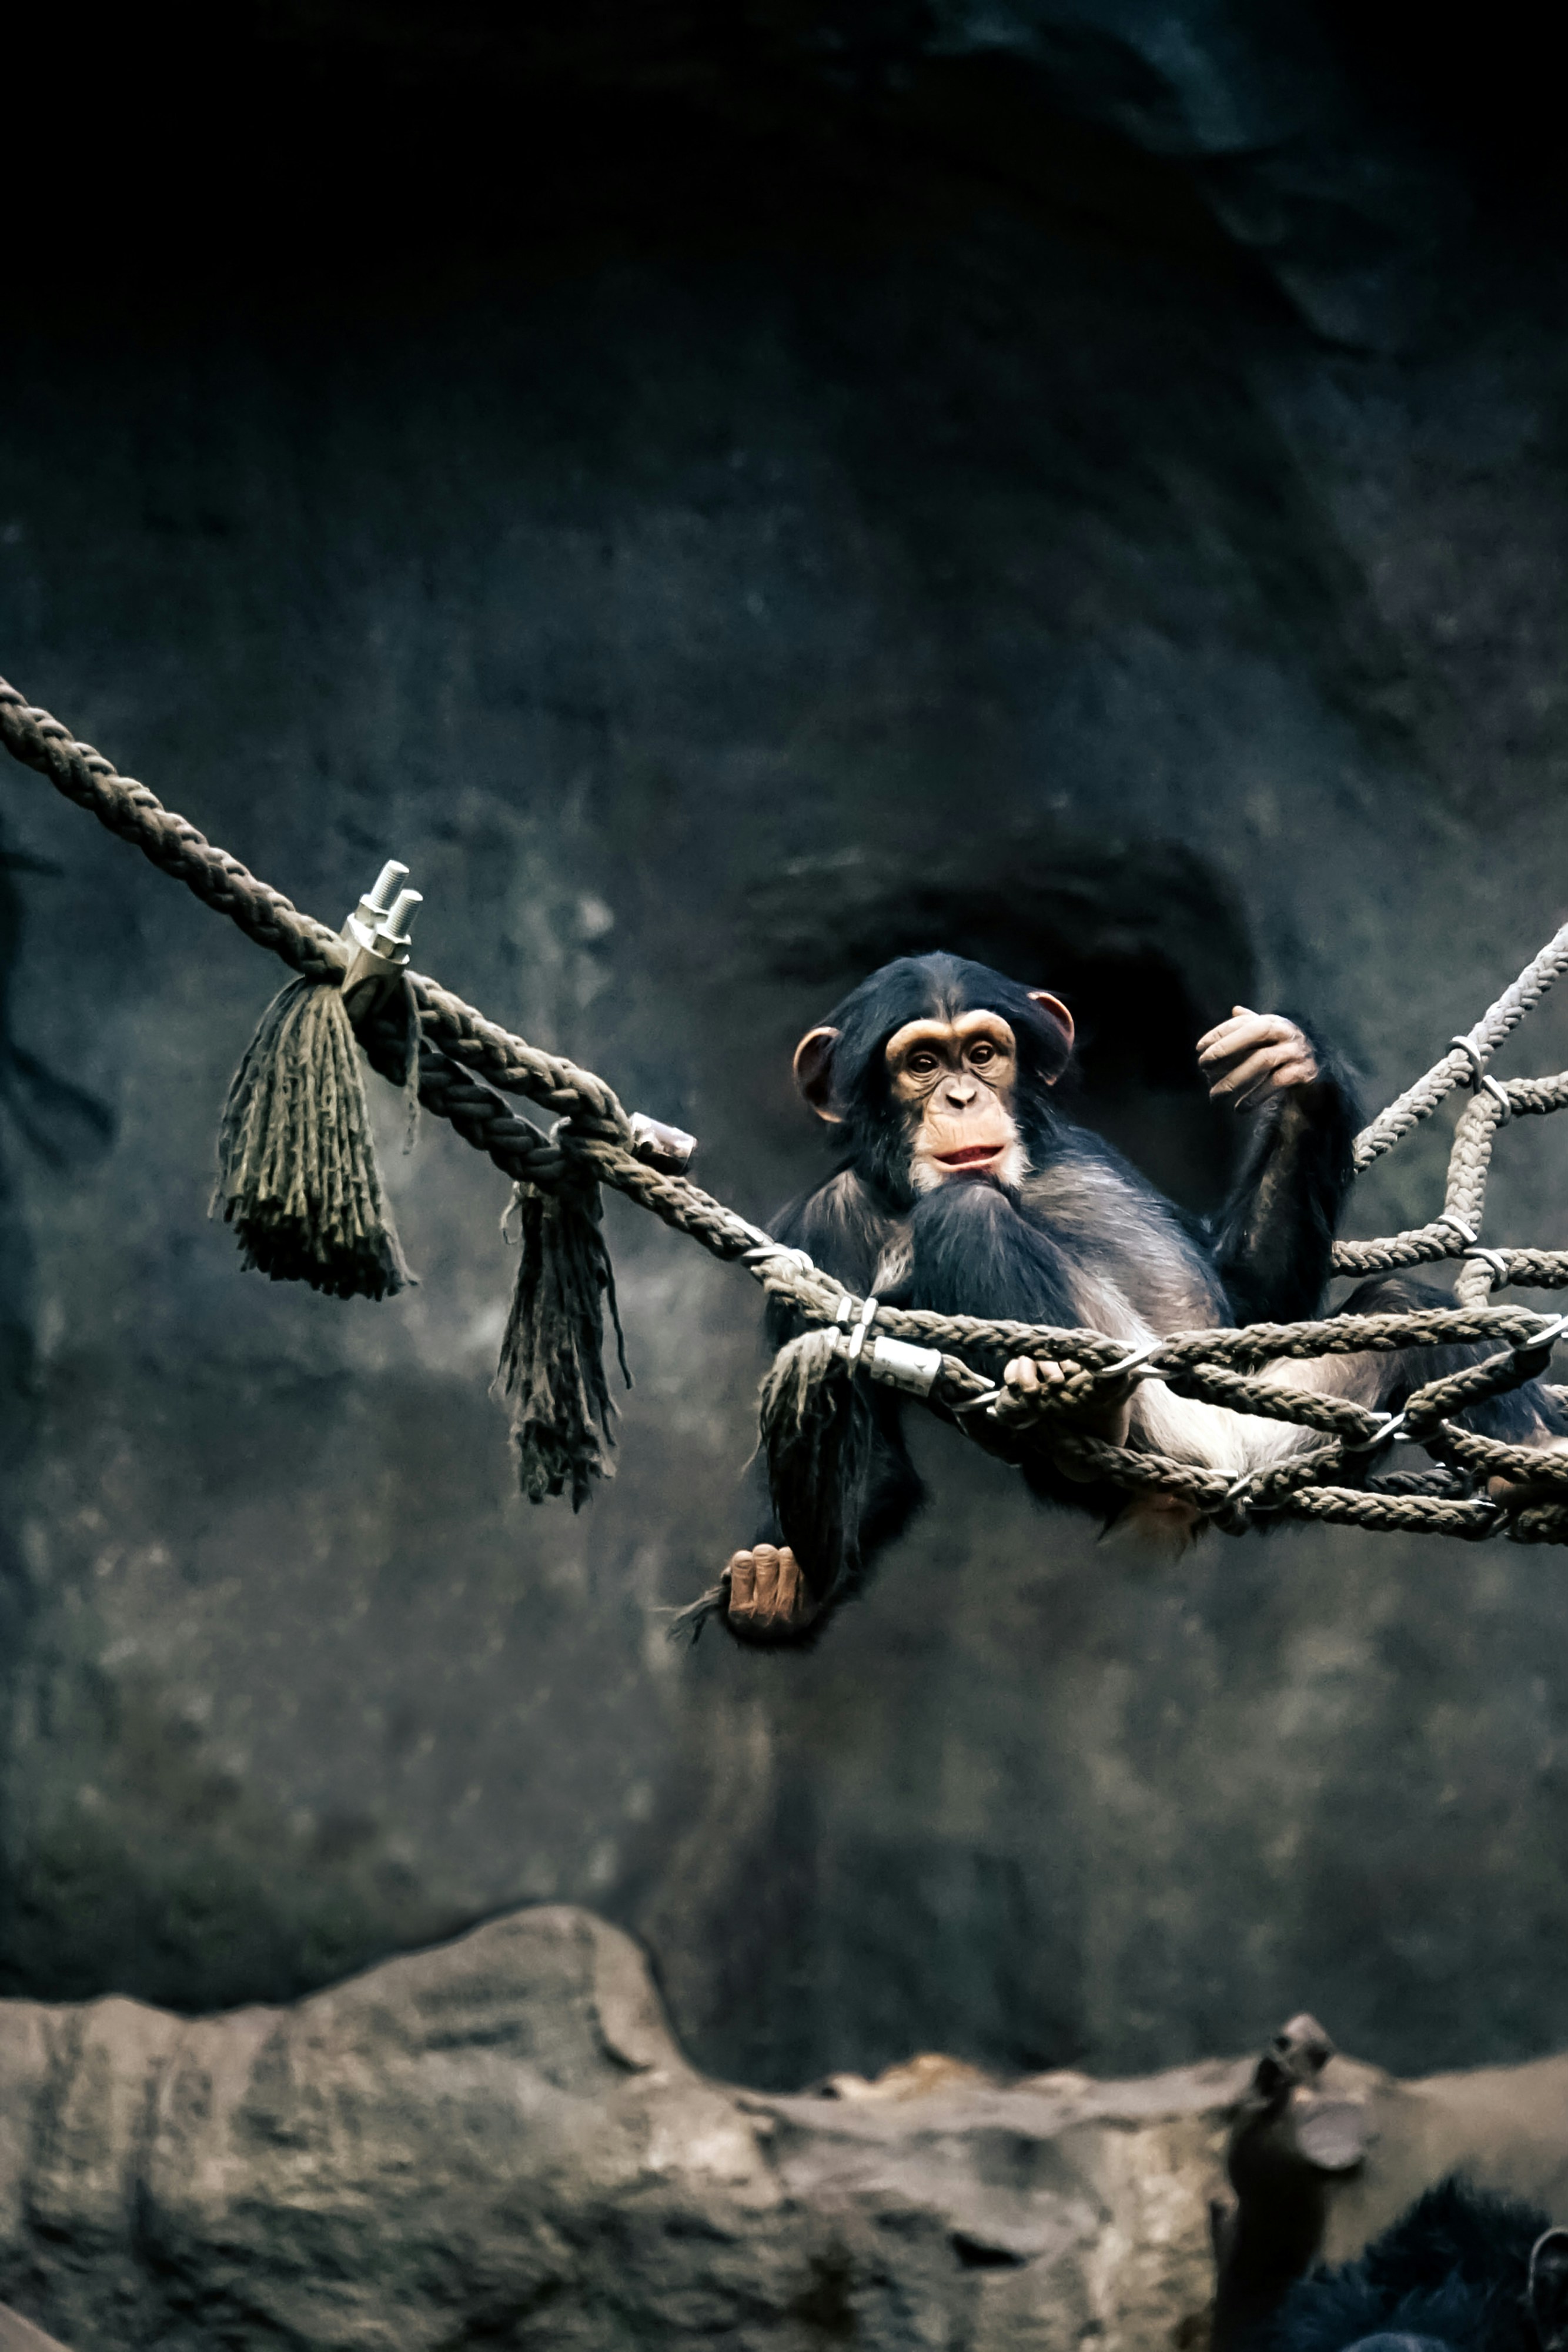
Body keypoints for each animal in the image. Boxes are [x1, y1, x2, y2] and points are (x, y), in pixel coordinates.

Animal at [717, 953, 1568, 1647]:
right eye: (920, 1062)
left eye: (983, 1054)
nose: (959, 1097)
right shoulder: (817, 1235)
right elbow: (868, 1449)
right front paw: (783, 1584)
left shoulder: (1099, 1150)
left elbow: (1247, 1299)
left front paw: (1293, 1067)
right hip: (1160, 1448)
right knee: (965, 1213)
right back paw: (1080, 1406)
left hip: (1281, 1426)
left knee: (1399, 1302)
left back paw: (1532, 1458)